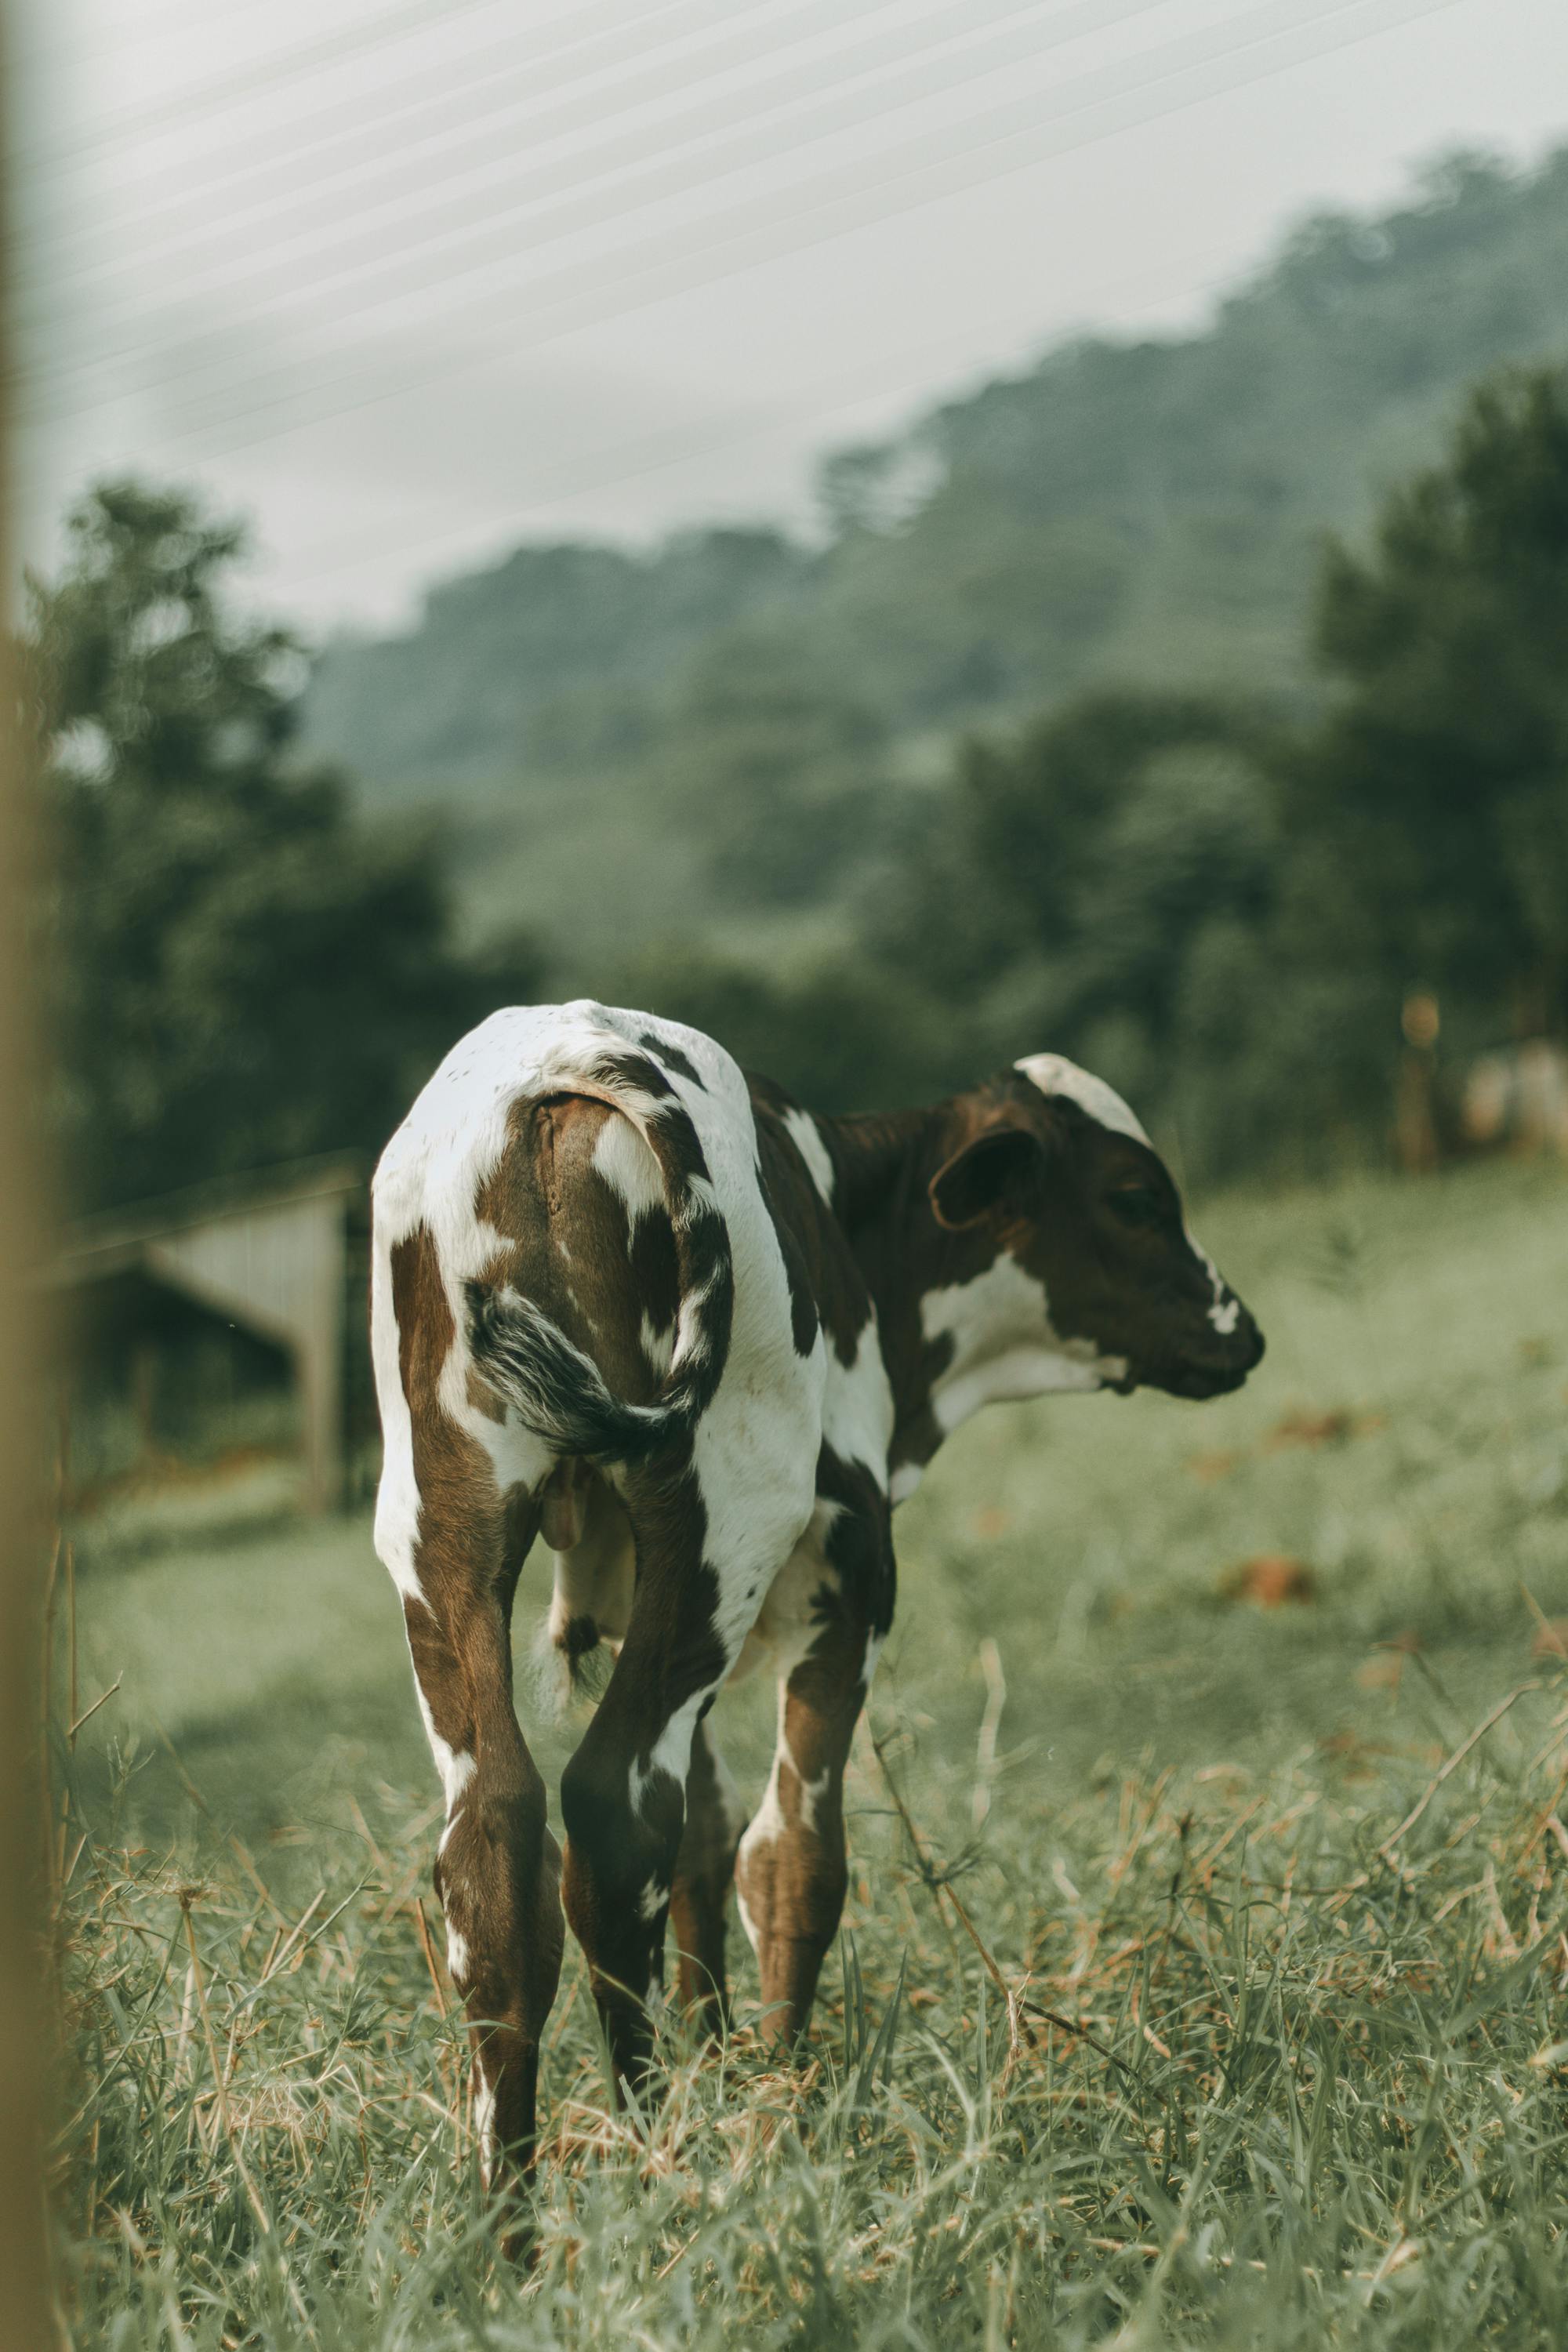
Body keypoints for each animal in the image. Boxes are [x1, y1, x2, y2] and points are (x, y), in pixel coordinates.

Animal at [370, 1000, 1263, 2220]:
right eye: (1134, 1197)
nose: (1241, 1331)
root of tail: (568, 1067)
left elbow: (702, 1840)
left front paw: (724, 2063)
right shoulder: (849, 1578)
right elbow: (791, 1855)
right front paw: (778, 2109)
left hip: (444, 1540)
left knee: (503, 1848)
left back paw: (514, 2217)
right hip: (721, 1524)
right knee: (614, 1808)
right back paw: (653, 2156)